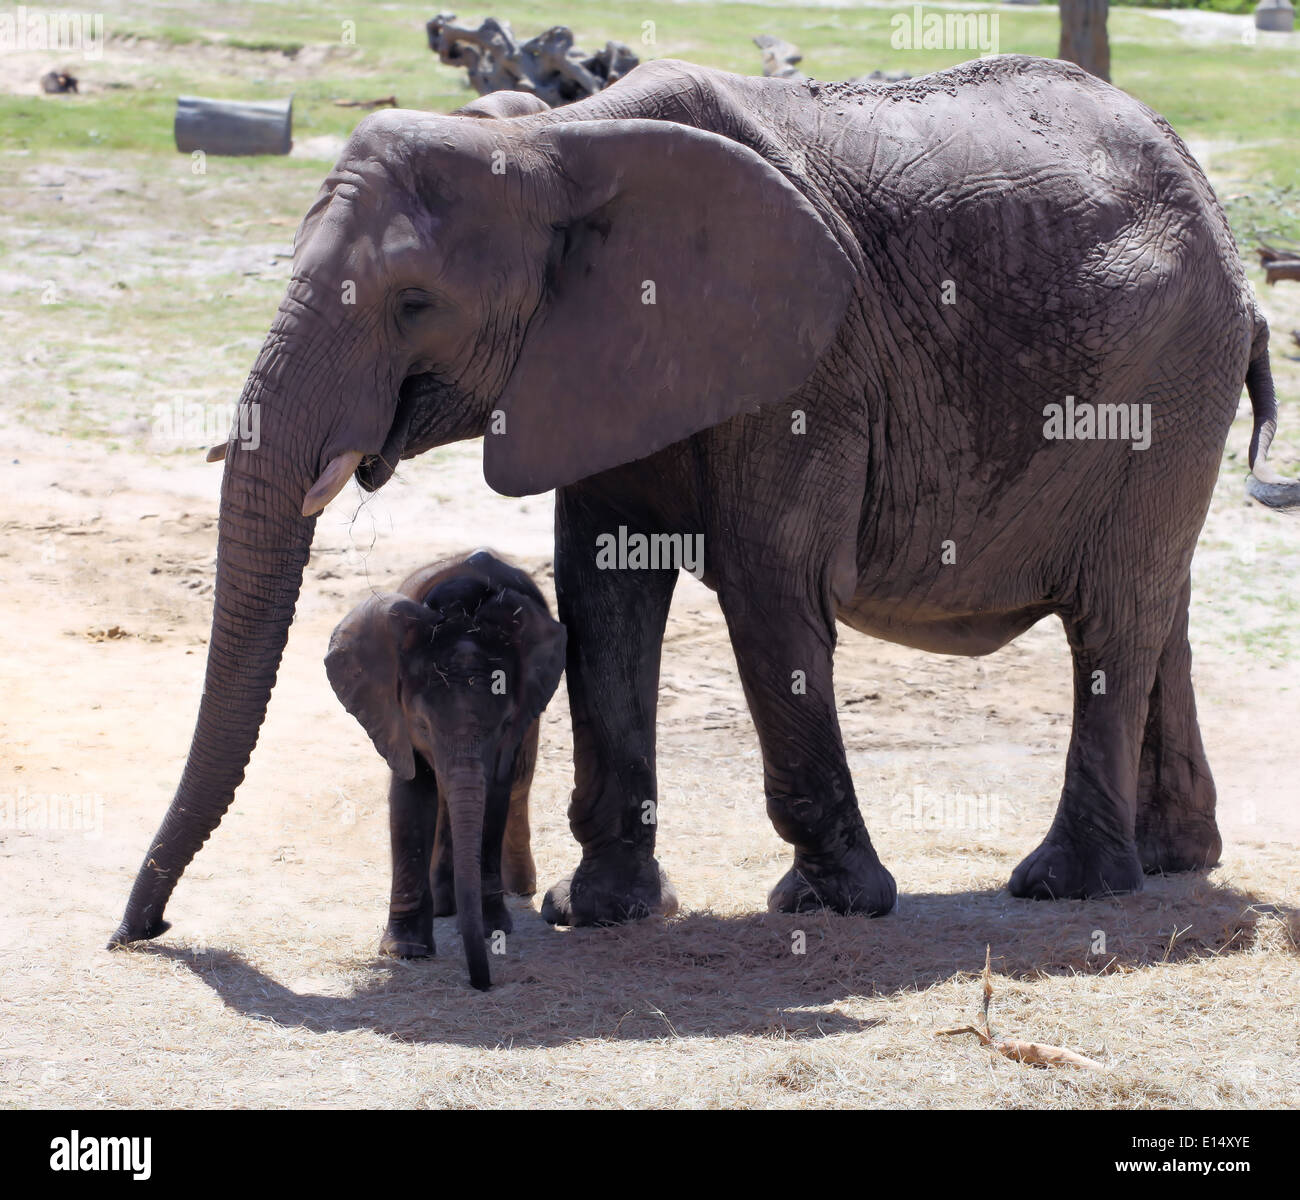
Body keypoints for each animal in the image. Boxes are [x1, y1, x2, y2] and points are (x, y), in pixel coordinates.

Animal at [325, 550, 566, 990]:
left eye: (505, 723)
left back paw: (519, 888)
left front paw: (491, 930)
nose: (483, 983)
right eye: (421, 726)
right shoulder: (394, 718)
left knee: (519, 782)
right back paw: (443, 906)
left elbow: (495, 793)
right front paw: (404, 951)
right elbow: (409, 796)